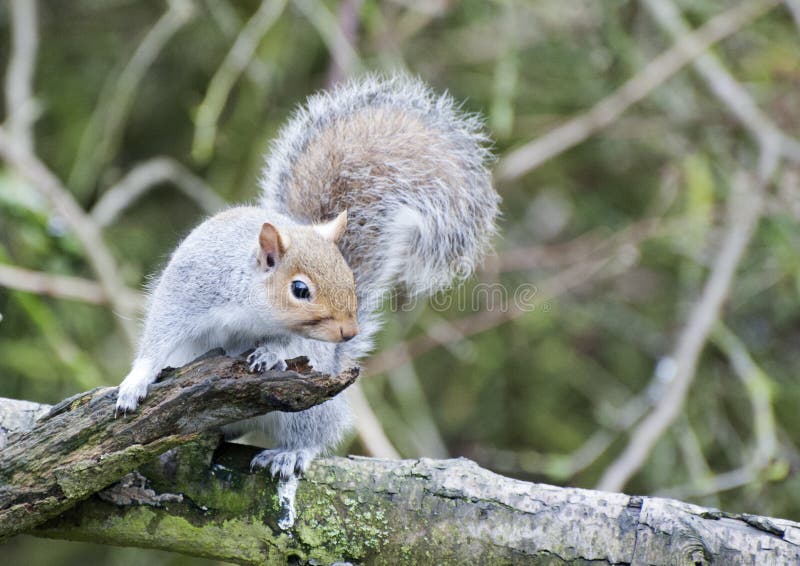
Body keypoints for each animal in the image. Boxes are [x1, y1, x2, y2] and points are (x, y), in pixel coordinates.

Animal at [116, 75, 500, 479]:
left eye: (349, 277)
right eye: (299, 289)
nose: (349, 332)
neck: (245, 304)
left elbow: (289, 344)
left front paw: (269, 353)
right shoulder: (188, 289)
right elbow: (158, 335)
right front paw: (135, 383)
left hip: (308, 408)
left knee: (315, 433)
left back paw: (291, 452)